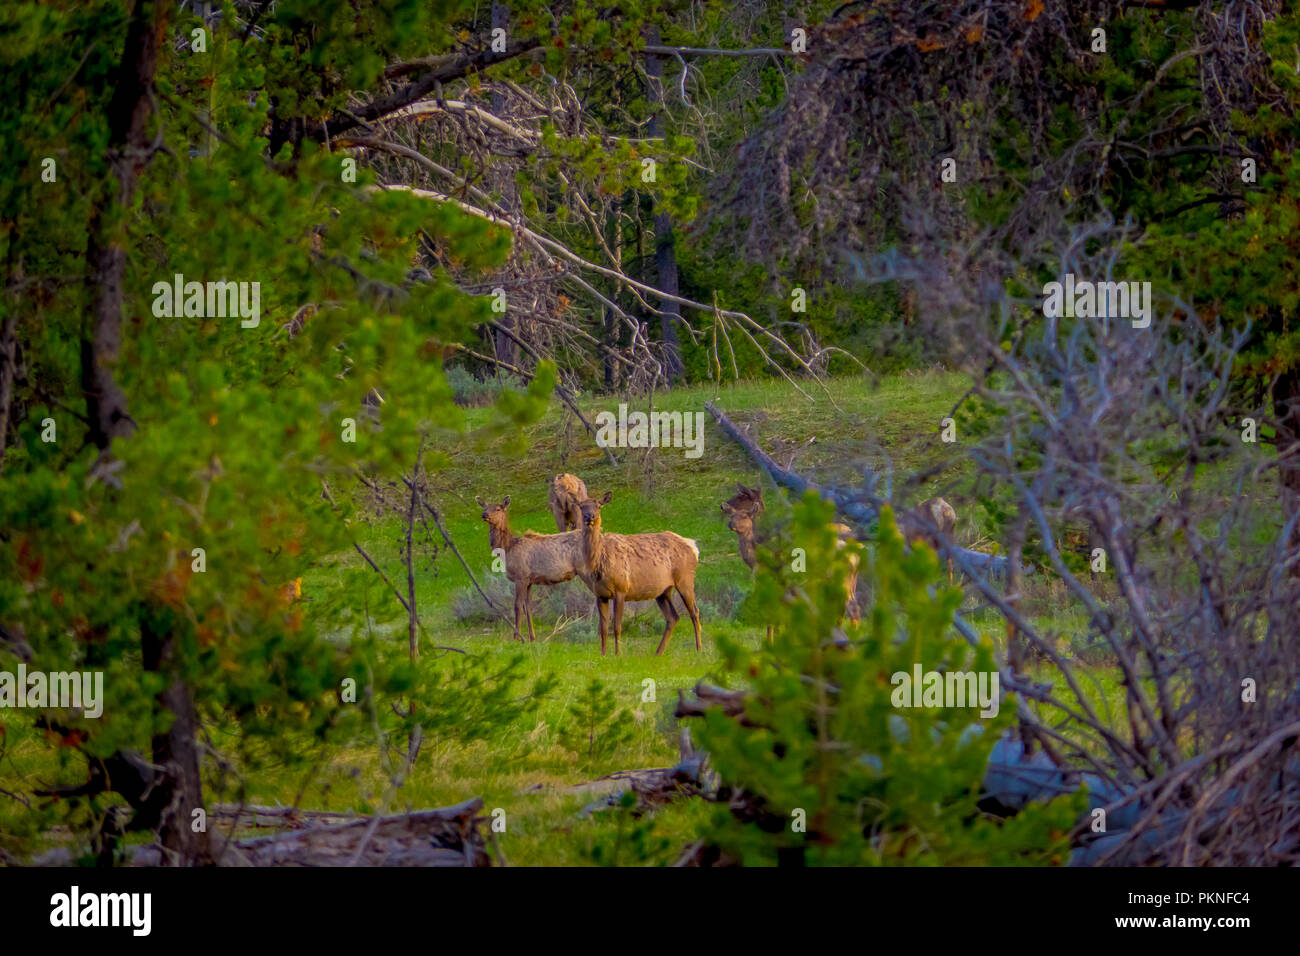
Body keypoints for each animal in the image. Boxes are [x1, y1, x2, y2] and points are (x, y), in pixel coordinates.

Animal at [476, 495, 587, 643]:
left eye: (498, 508)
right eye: (485, 507)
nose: (484, 515)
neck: (508, 549)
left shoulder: (521, 576)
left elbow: (517, 606)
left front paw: (517, 637)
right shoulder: (529, 580)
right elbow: (528, 607)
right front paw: (532, 637)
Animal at [575, 492, 702, 656]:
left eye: (599, 505)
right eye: (581, 506)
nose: (589, 516)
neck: (599, 561)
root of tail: (693, 547)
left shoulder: (621, 588)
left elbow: (617, 626)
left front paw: (618, 654)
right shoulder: (600, 594)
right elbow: (603, 629)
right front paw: (603, 655)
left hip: (685, 579)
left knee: (695, 612)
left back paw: (699, 649)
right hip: (663, 590)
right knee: (673, 617)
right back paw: (658, 652)